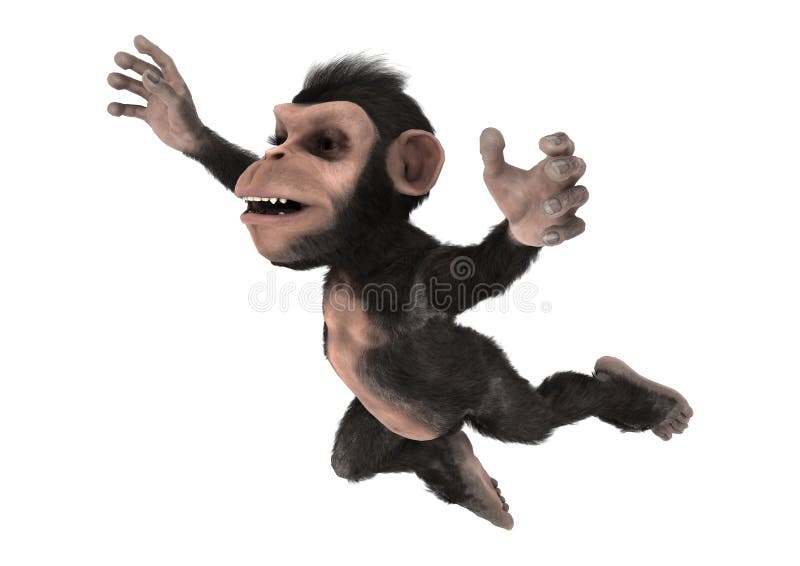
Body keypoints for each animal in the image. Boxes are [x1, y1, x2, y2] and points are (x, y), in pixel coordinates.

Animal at [107, 35, 693, 530]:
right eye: (278, 138)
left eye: (325, 144)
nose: (274, 156)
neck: (360, 262)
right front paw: (180, 120)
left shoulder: (416, 274)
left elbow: (472, 277)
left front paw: (528, 208)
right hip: (387, 418)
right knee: (356, 456)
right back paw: (465, 475)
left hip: (483, 373)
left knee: (537, 416)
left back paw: (647, 400)